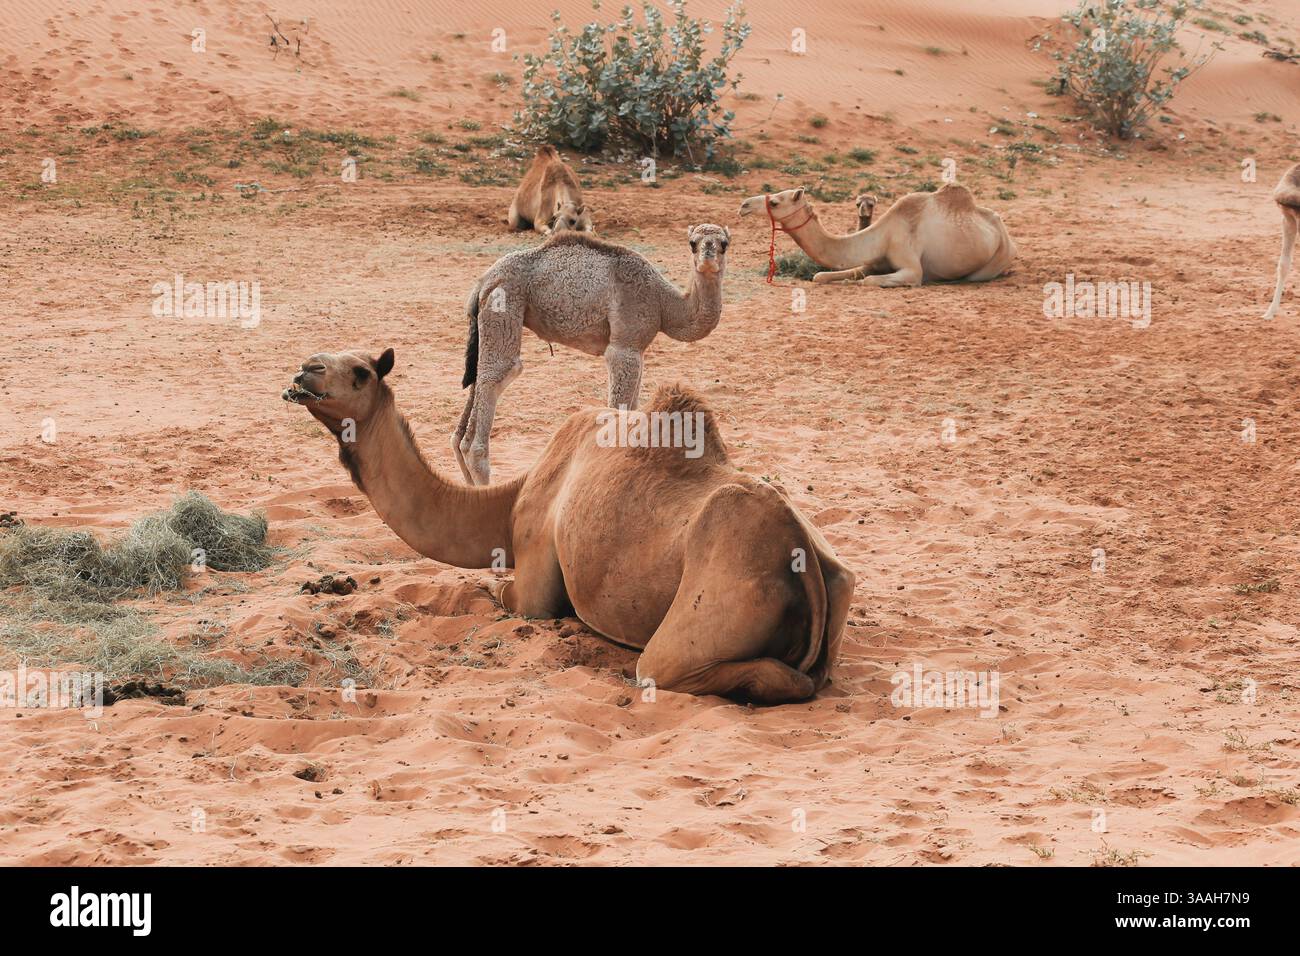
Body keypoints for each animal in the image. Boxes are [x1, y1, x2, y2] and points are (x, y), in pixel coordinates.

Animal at [282, 349, 854, 704]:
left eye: (360, 371)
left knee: (680, 669)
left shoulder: (533, 571)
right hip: (837, 573)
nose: (304, 373)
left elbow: (503, 595)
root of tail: (798, 552)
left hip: (705, 613)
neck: (510, 501)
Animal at [453, 225, 730, 486]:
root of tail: (483, 281)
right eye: (692, 243)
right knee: (499, 376)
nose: (707, 255)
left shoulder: (638, 349)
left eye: (724, 243)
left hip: (485, 324)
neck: (664, 305)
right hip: (504, 303)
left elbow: (634, 408)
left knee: (473, 397)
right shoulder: (624, 346)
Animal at [739, 183, 1015, 286]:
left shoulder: (911, 268)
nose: (743, 205)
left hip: (996, 259)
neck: (883, 236)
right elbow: (820, 275)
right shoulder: (870, 263)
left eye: (775, 202)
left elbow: (869, 281)